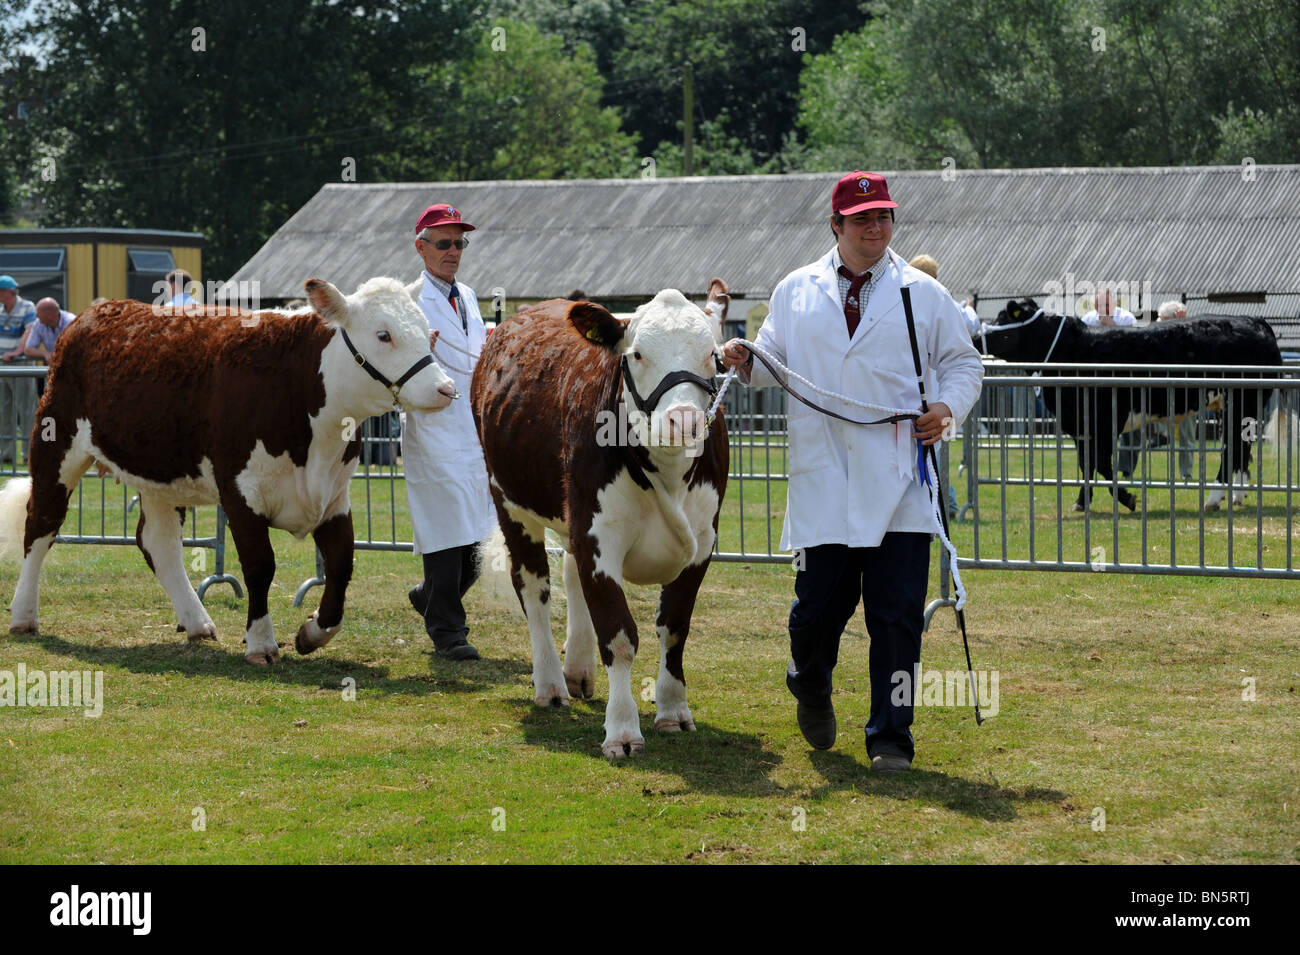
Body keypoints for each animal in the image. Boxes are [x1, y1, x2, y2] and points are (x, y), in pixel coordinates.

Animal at [1, 277, 456, 664]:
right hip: (54, 445)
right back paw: (23, 615)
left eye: (427, 330)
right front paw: (261, 643)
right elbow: (260, 566)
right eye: (383, 335)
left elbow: (342, 566)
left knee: (158, 544)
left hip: (159, 475)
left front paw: (312, 632)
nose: (446, 388)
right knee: (40, 526)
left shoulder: (334, 495)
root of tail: (101, 310)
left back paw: (197, 622)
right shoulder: (239, 490)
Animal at [472, 290, 727, 758]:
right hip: (508, 501)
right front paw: (623, 730)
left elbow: (675, 628)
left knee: (570, 573)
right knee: (533, 588)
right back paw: (552, 684)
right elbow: (619, 636)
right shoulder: (598, 538)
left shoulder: (703, 542)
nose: (683, 420)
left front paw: (673, 709)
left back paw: (577, 669)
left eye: (713, 356)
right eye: (638, 353)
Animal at [978, 298, 1281, 511]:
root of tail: (1254, 321)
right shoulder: (1080, 426)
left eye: (1003, 317)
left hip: (1241, 403)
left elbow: (1101, 464)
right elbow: (1086, 464)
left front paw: (1127, 497)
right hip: (1231, 408)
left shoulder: (1103, 421)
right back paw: (1237, 495)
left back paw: (1214, 498)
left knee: (1232, 450)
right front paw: (1082, 501)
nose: (974, 338)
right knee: (1241, 449)